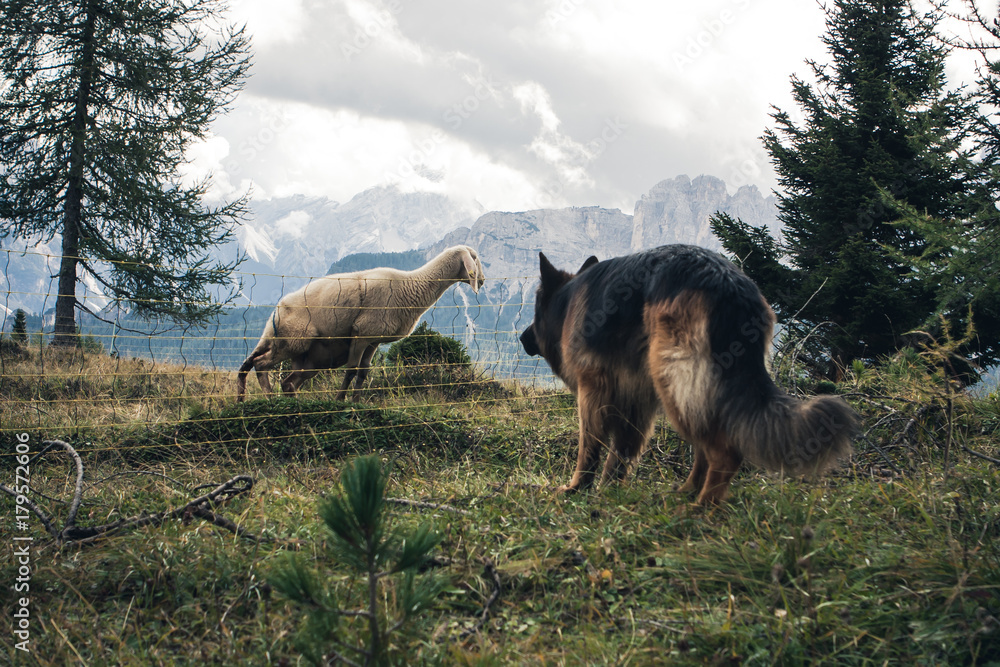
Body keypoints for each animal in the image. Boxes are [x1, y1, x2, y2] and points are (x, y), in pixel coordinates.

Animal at [236, 245, 485, 402]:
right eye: (474, 257)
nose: (482, 281)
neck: (411, 285)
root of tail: (275, 313)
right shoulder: (361, 333)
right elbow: (351, 369)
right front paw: (340, 400)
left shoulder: (373, 340)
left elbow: (364, 372)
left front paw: (357, 401)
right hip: (293, 341)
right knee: (260, 363)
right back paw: (269, 398)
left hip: (306, 358)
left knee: (284, 381)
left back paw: (287, 402)